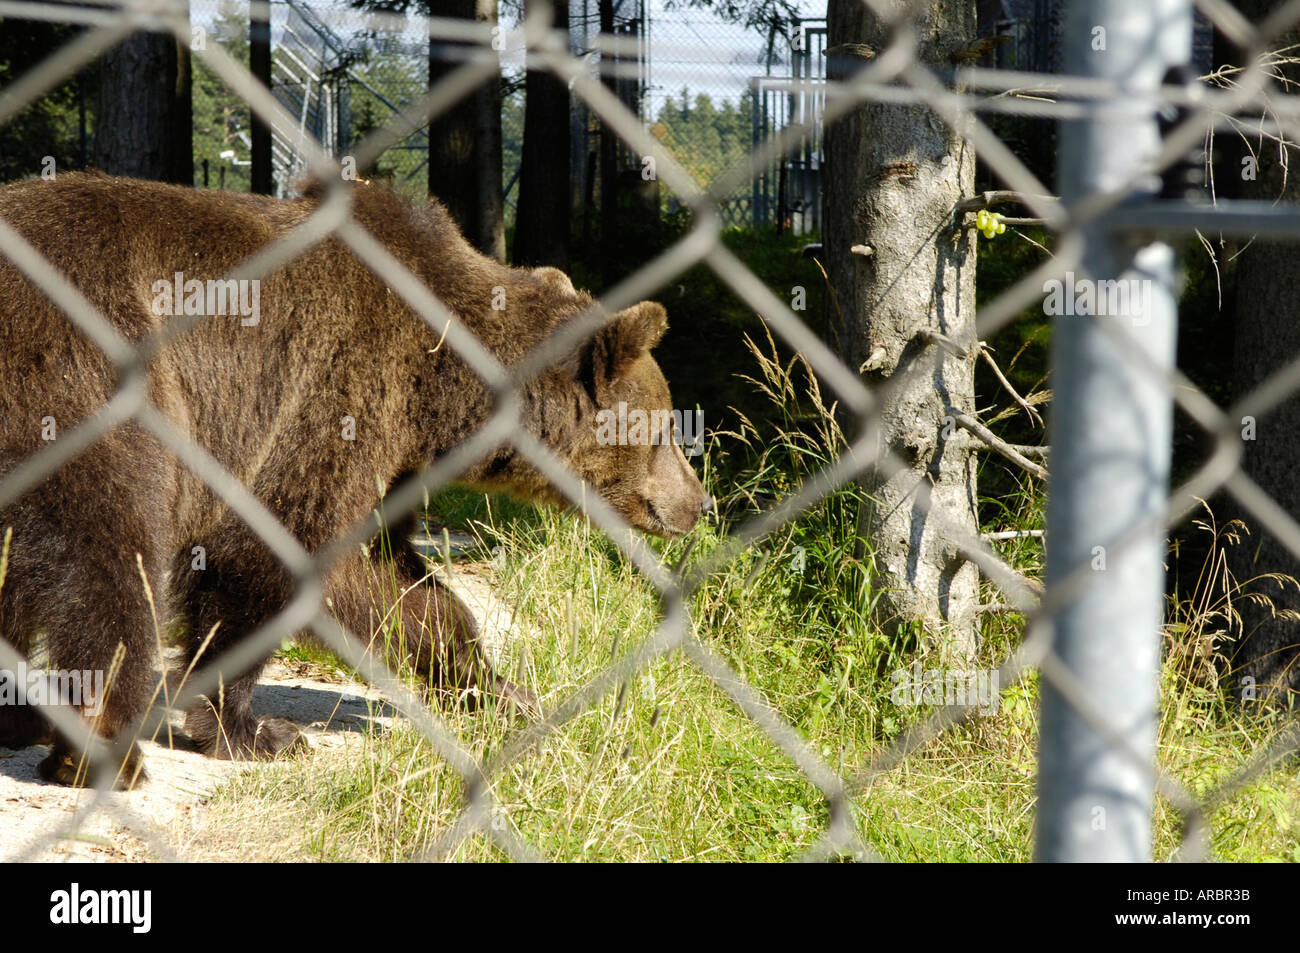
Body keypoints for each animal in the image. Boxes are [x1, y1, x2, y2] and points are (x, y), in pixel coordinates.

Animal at [0, 172, 712, 787]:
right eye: (664, 430)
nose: (699, 504)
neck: (444, 383)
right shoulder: (332, 387)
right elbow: (267, 554)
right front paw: (254, 730)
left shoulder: (387, 449)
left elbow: (390, 579)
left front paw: (500, 689)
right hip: (87, 367)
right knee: (108, 544)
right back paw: (99, 750)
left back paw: (22, 717)